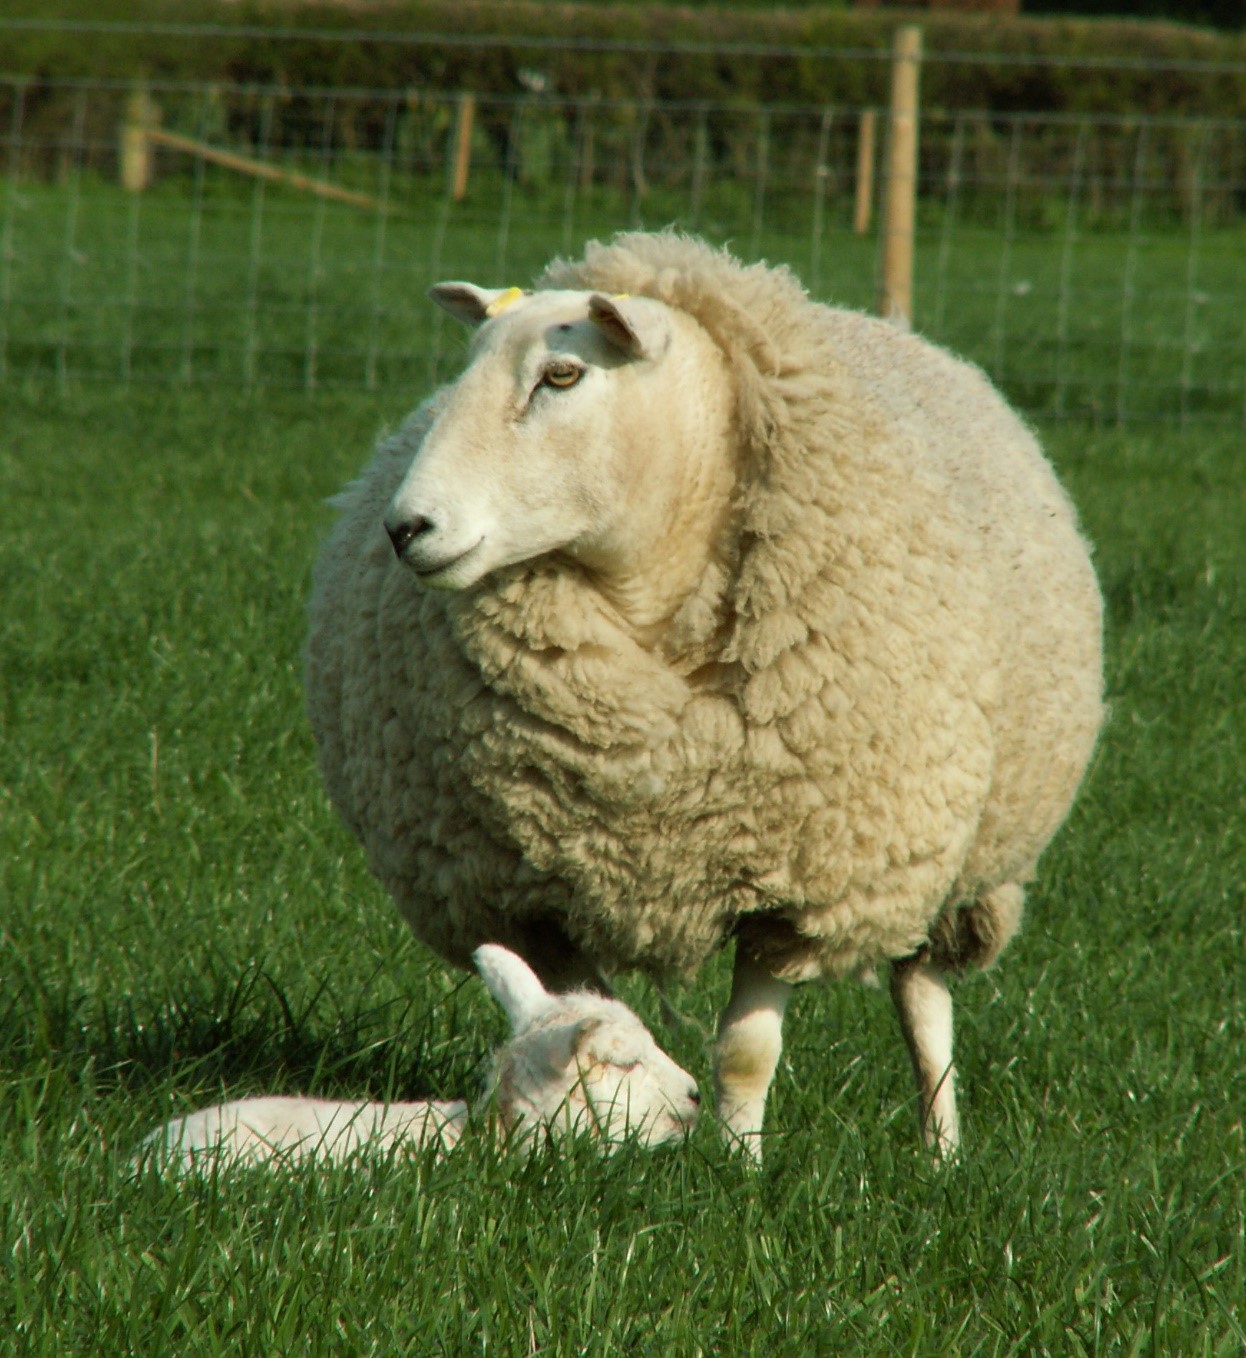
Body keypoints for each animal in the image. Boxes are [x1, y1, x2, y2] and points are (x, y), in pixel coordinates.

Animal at [306, 231, 1104, 1159]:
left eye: (561, 375)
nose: (406, 529)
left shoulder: (799, 883)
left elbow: (747, 1051)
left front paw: (738, 1165)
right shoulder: (534, 893)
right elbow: (589, 1010)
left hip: (938, 854)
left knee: (922, 995)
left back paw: (941, 1149)